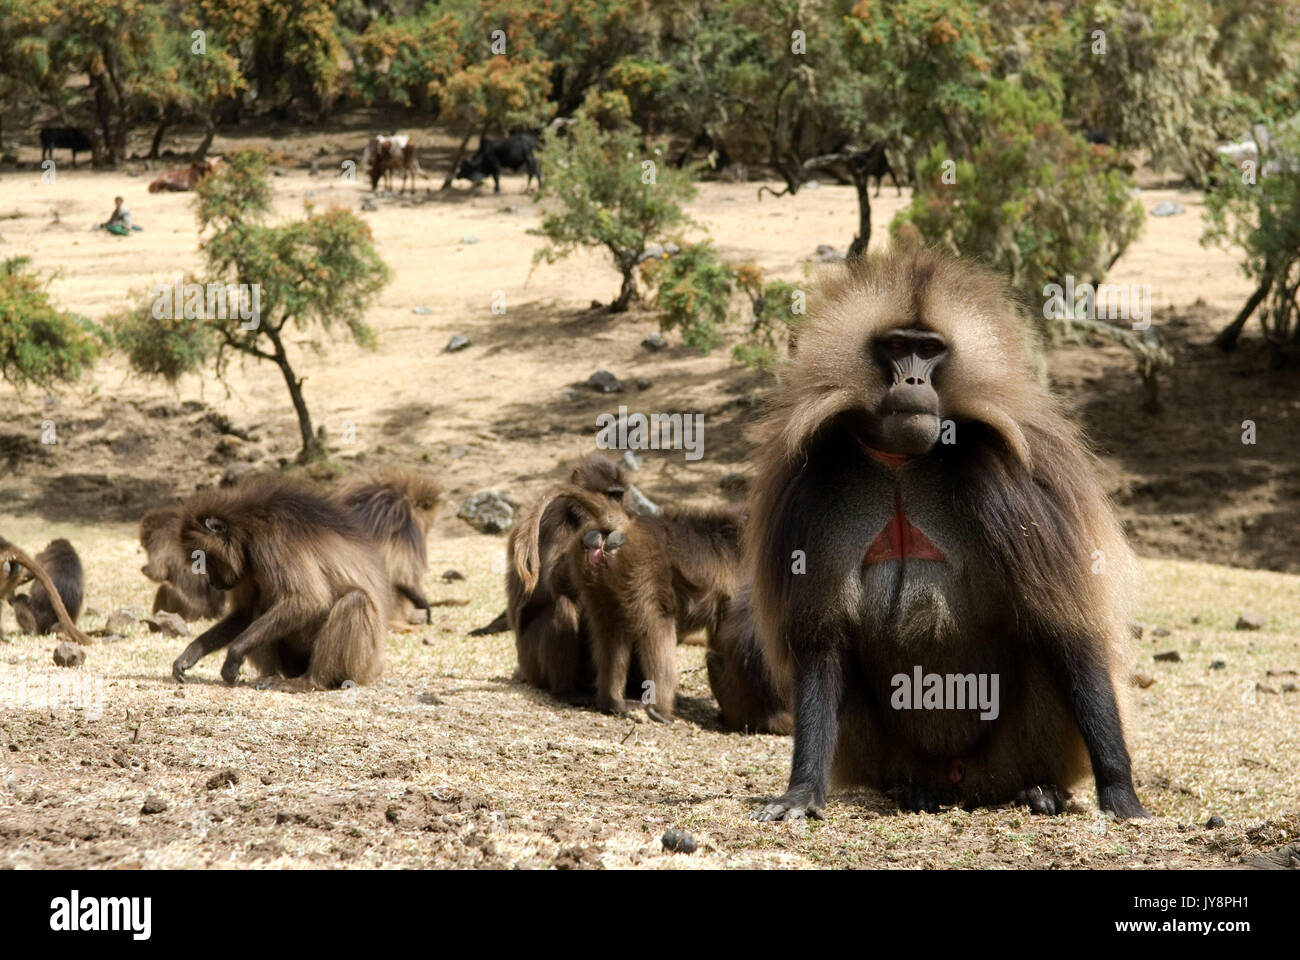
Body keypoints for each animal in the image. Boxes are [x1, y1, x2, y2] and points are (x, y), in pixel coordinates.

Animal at [169, 476, 391, 689]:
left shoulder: (272, 542)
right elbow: (244, 612)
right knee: (259, 608)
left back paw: (309, 682)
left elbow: (310, 600)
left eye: (205, 559)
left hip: (361, 665)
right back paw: (271, 675)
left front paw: (234, 654)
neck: (247, 528)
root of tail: (375, 669)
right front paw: (191, 652)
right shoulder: (245, 567)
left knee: (355, 601)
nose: (212, 583)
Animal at [747, 246, 1148, 822]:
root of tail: (962, 784)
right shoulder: (816, 491)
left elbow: (1067, 631)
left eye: (931, 350)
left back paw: (1039, 788)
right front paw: (801, 792)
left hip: (1009, 754)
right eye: (896, 347)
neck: (901, 464)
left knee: (1043, 651)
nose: (914, 383)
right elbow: (823, 644)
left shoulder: (1008, 482)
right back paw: (911, 790)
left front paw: (1119, 792)